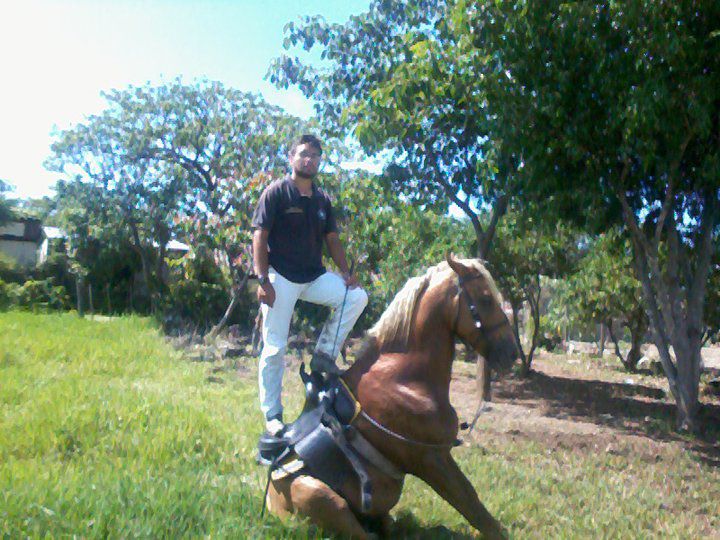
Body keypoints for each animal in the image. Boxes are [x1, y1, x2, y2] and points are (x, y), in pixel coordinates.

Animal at [266, 254, 518, 539]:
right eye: (486, 299)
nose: (512, 352)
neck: (404, 379)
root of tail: (271, 503)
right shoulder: (432, 461)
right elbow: (476, 509)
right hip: (324, 498)